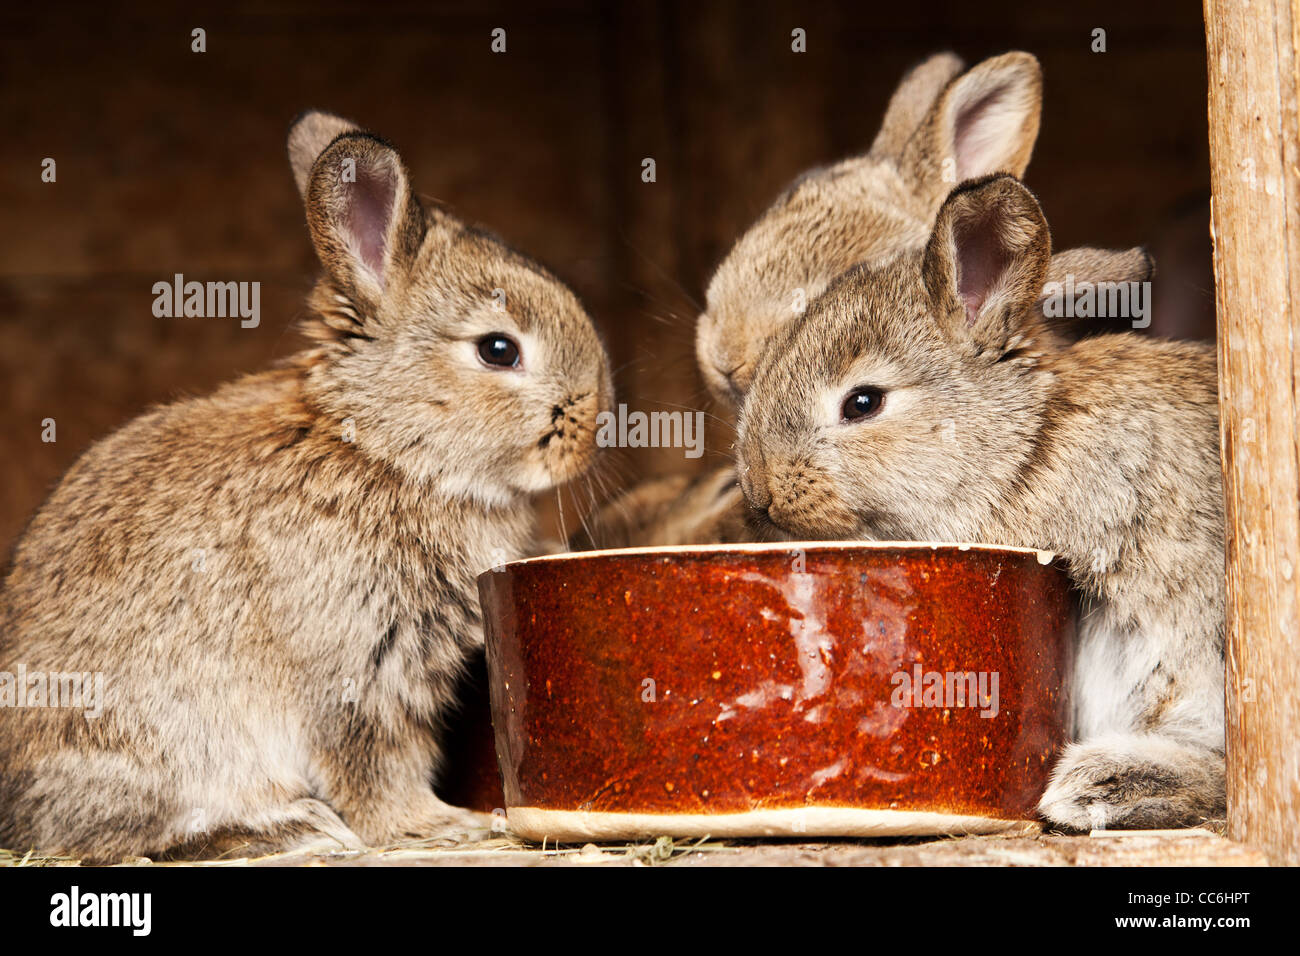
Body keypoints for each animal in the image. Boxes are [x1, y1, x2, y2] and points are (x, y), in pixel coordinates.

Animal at [0, 110, 612, 862]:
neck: (383, 447)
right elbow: (376, 766)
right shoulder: (362, 669)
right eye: (499, 350)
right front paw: (439, 824)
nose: (596, 422)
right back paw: (291, 826)